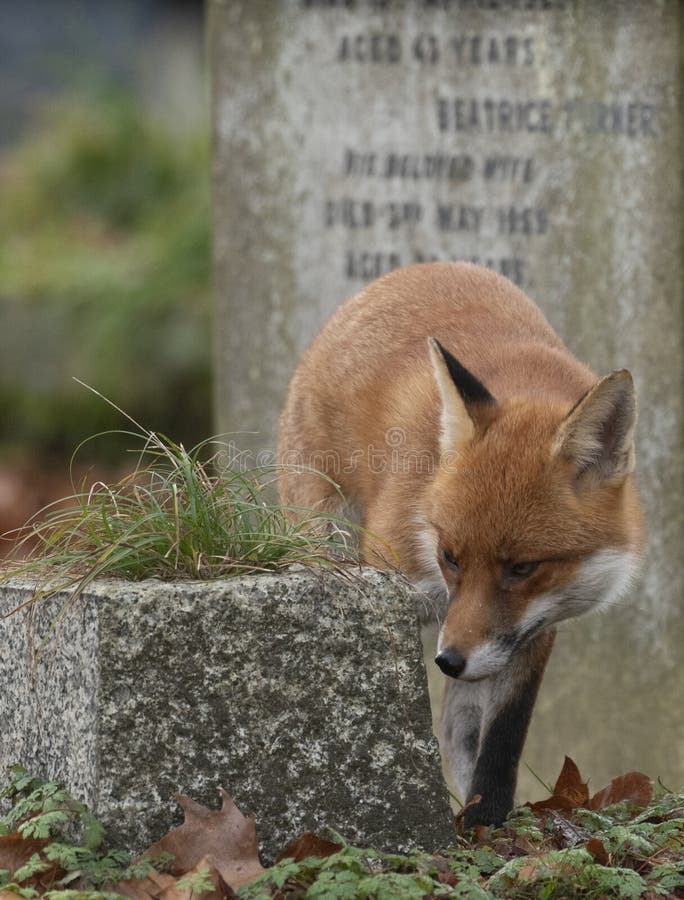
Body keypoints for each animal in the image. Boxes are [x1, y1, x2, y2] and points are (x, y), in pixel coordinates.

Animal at [277, 261, 644, 829]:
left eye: (523, 567)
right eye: (450, 557)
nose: (448, 662)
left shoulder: (529, 631)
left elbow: (499, 735)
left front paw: (484, 814)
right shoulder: (399, 591)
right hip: (327, 540)